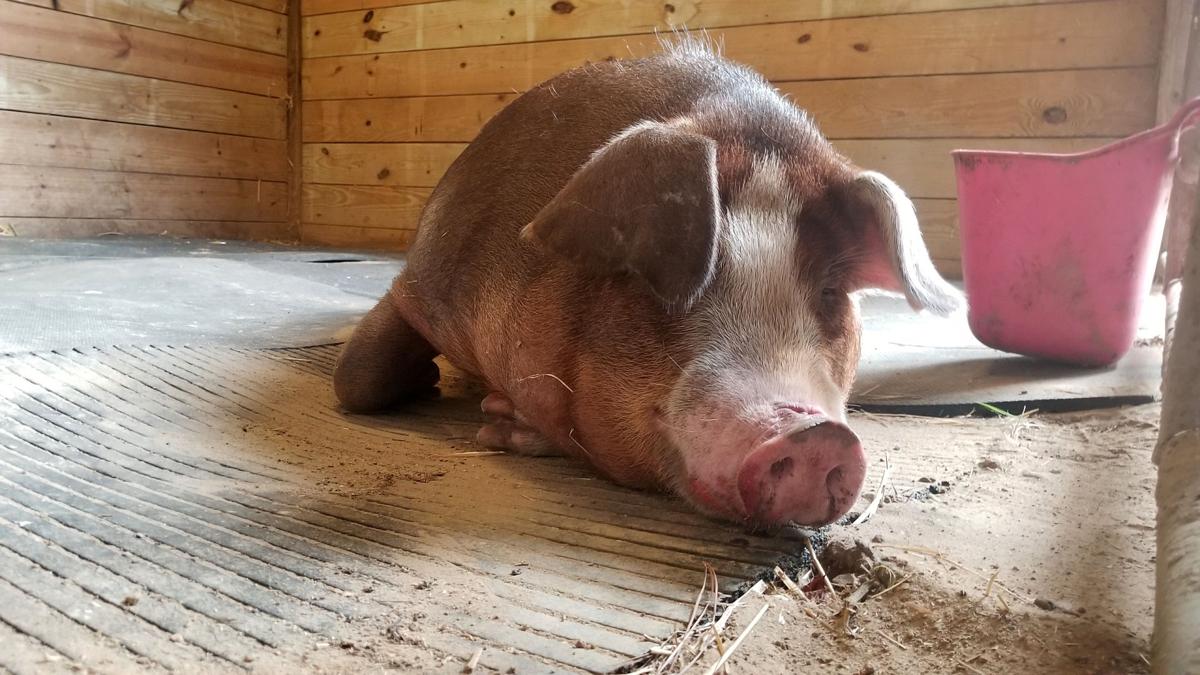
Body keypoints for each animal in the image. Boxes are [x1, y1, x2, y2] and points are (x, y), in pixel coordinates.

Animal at [333, 39, 961, 528]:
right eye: (686, 279)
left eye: (829, 294)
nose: (820, 437)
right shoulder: (425, 284)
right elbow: (355, 381)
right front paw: (443, 390)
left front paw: (498, 421)